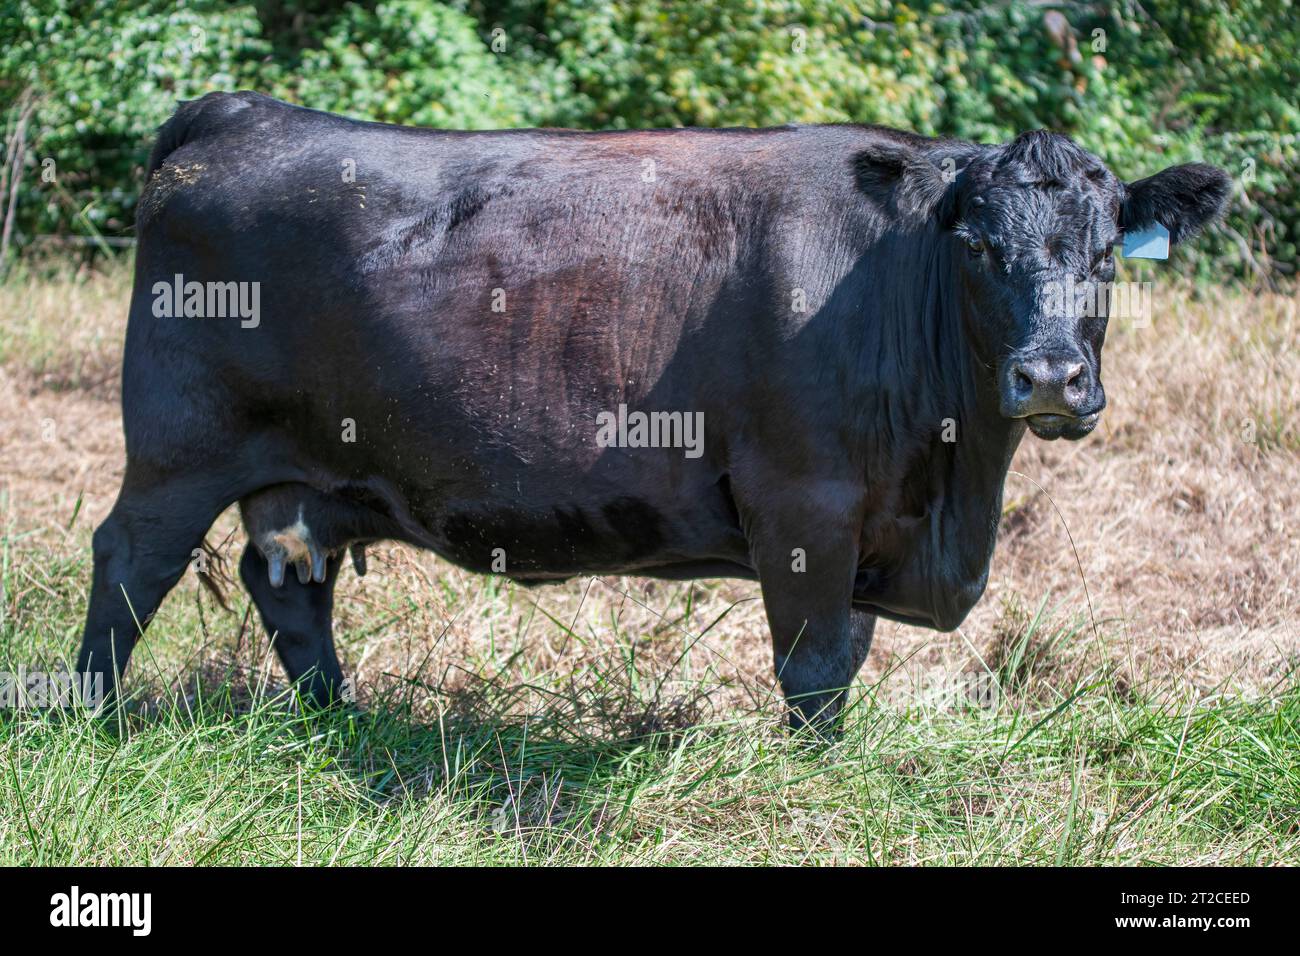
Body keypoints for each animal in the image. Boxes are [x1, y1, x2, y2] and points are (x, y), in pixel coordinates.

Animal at [76, 91, 1230, 731]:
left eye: (1104, 255)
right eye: (979, 246)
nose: (1049, 377)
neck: (951, 485)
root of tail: (242, 112)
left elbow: (845, 657)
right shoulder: (804, 505)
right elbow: (814, 670)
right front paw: (819, 777)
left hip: (294, 475)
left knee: (289, 585)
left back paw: (340, 726)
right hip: (177, 452)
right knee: (130, 561)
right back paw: (91, 720)